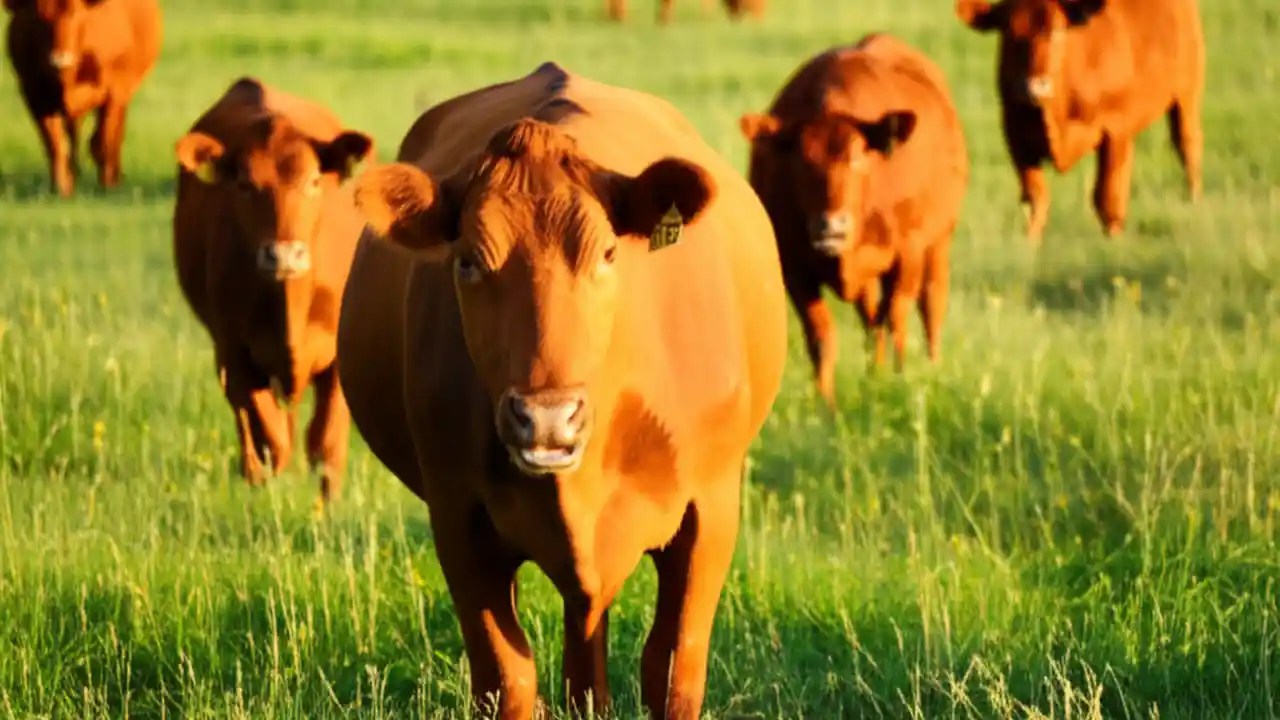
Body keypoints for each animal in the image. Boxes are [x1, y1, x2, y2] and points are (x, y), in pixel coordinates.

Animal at [4, 0, 162, 197]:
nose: (59, 60)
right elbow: (56, 145)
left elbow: (103, 142)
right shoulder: (34, 95)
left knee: (114, 137)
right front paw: (60, 190)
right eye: (38, 17)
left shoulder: (114, 93)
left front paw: (107, 188)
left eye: (75, 14)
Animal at [171, 78, 374, 506]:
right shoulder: (233, 351)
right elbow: (269, 438)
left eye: (314, 182)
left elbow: (326, 444)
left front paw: (326, 510)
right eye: (245, 186)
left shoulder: (337, 358)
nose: (284, 254)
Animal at [337, 61, 787, 719]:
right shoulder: (457, 517)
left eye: (607, 253)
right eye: (467, 261)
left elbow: (672, 669)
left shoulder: (712, 508)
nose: (547, 418)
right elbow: (508, 678)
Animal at [739, 34, 969, 405]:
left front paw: (902, 381)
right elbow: (821, 337)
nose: (832, 226)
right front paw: (825, 404)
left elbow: (897, 318)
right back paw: (874, 373)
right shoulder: (794, 268)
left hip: (939, 242)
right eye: (801, 161)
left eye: (858, 157)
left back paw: (932, 367)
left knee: (930, 305)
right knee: (870, 319)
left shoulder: (908, 253)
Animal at [955, 0, 1205, 241]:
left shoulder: (1116, 129)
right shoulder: (1014, 133)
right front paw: (1029, 244)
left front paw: (1114, 244)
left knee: (1187, 145)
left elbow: (1108, 196)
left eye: (1057, 31)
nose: (1036, 87)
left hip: (1186, 93)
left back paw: (1193, 200)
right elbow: (1035, 197)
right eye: (1008, 32)